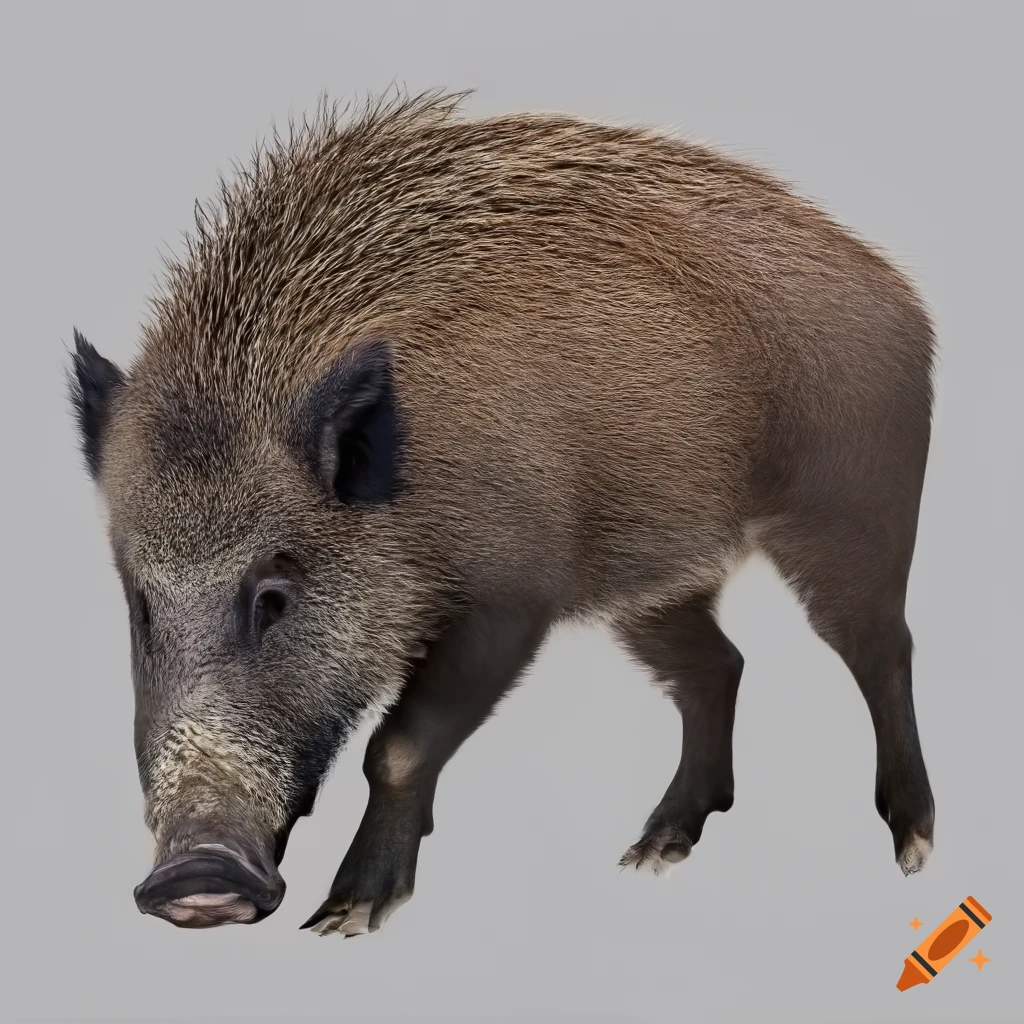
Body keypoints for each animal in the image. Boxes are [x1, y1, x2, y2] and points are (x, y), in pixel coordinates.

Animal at [68, 90, 937, 936]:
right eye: (141, 606)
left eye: (274, 594)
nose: (195, 880)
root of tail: (901, 293)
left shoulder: (511, 597)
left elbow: (398, 745)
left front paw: (345, 919)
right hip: (653, 583)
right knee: (718, 666)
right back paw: (650, 853)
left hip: (857, 509)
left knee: (881, 648)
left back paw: (913, 847)